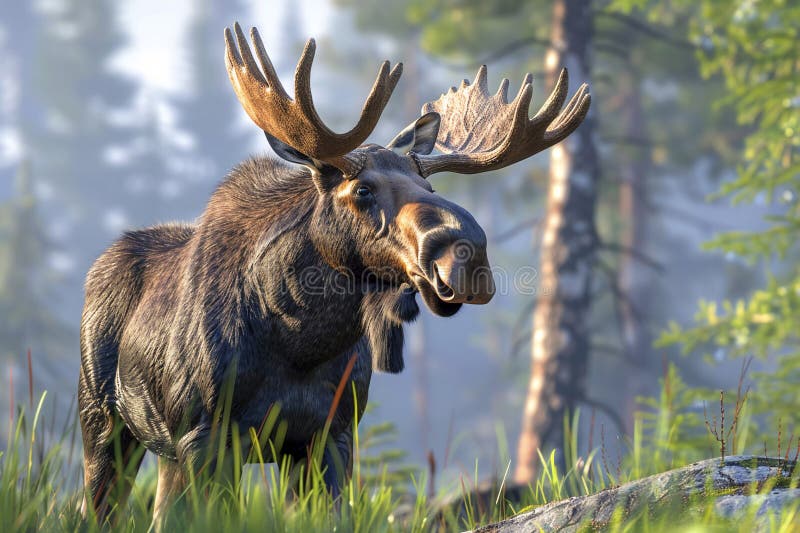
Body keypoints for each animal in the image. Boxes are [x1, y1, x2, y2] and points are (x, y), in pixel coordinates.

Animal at [77, 23, 590, 525]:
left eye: (428, 187)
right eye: (362, 190)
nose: (468, 254)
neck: (298, 341)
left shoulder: (329, 437)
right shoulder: (206, 435)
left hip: (163, 450)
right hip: (101, 420)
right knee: (97, 506)